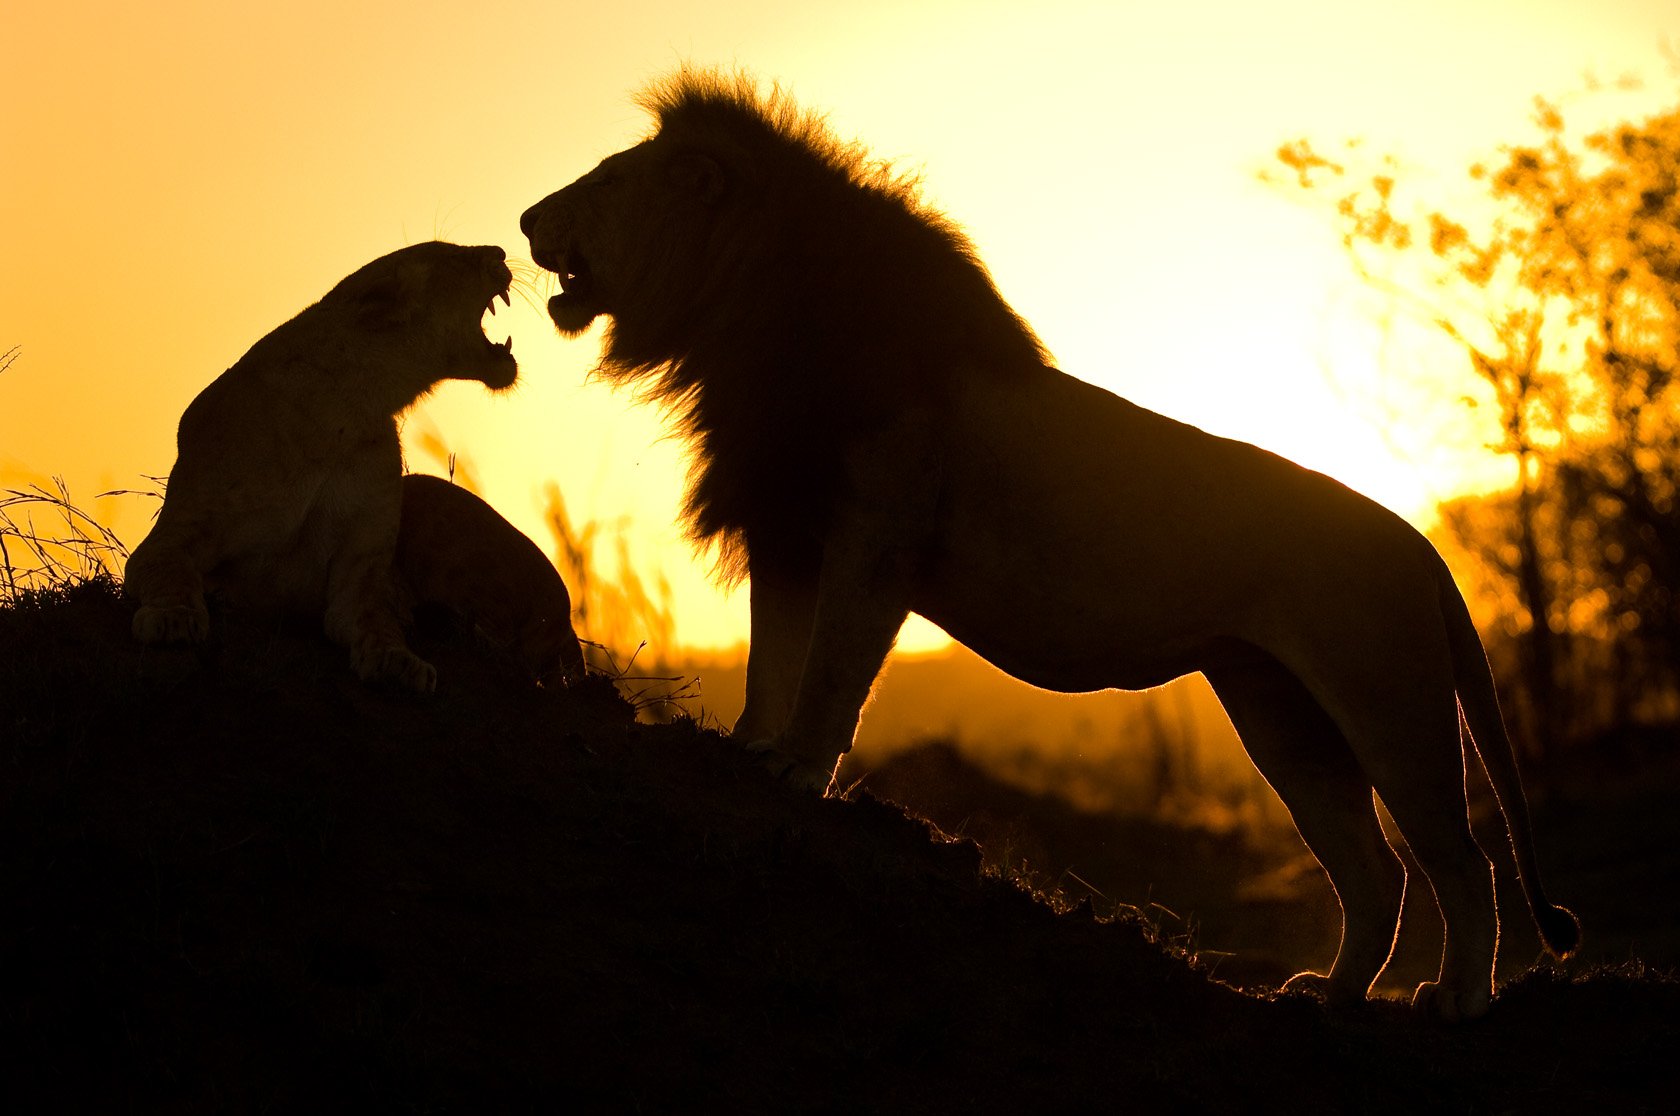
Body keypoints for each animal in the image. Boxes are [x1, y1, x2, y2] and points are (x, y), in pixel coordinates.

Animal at [125, 241, 519, 692]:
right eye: (453, 255)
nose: (500, 251)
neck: (350, 412)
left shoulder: (362, 571)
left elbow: (375, 620)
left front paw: (399, 661)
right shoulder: (174, 534)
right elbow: (171, 572)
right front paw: (174, 619)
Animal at [519, 69, 1579, 1020]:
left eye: (606, 180)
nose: (527, 220)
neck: (742, 327)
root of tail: (1419, 543)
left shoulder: (875, 536)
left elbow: (828, 677)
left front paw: (793, 770)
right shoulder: (787, 534)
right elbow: (772, 665)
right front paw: (748, 751)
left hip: (1386, 698)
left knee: (1463, 861)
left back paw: (1457, 1001)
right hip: (1278, 710)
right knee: (1372, 870)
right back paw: (1331, 994)